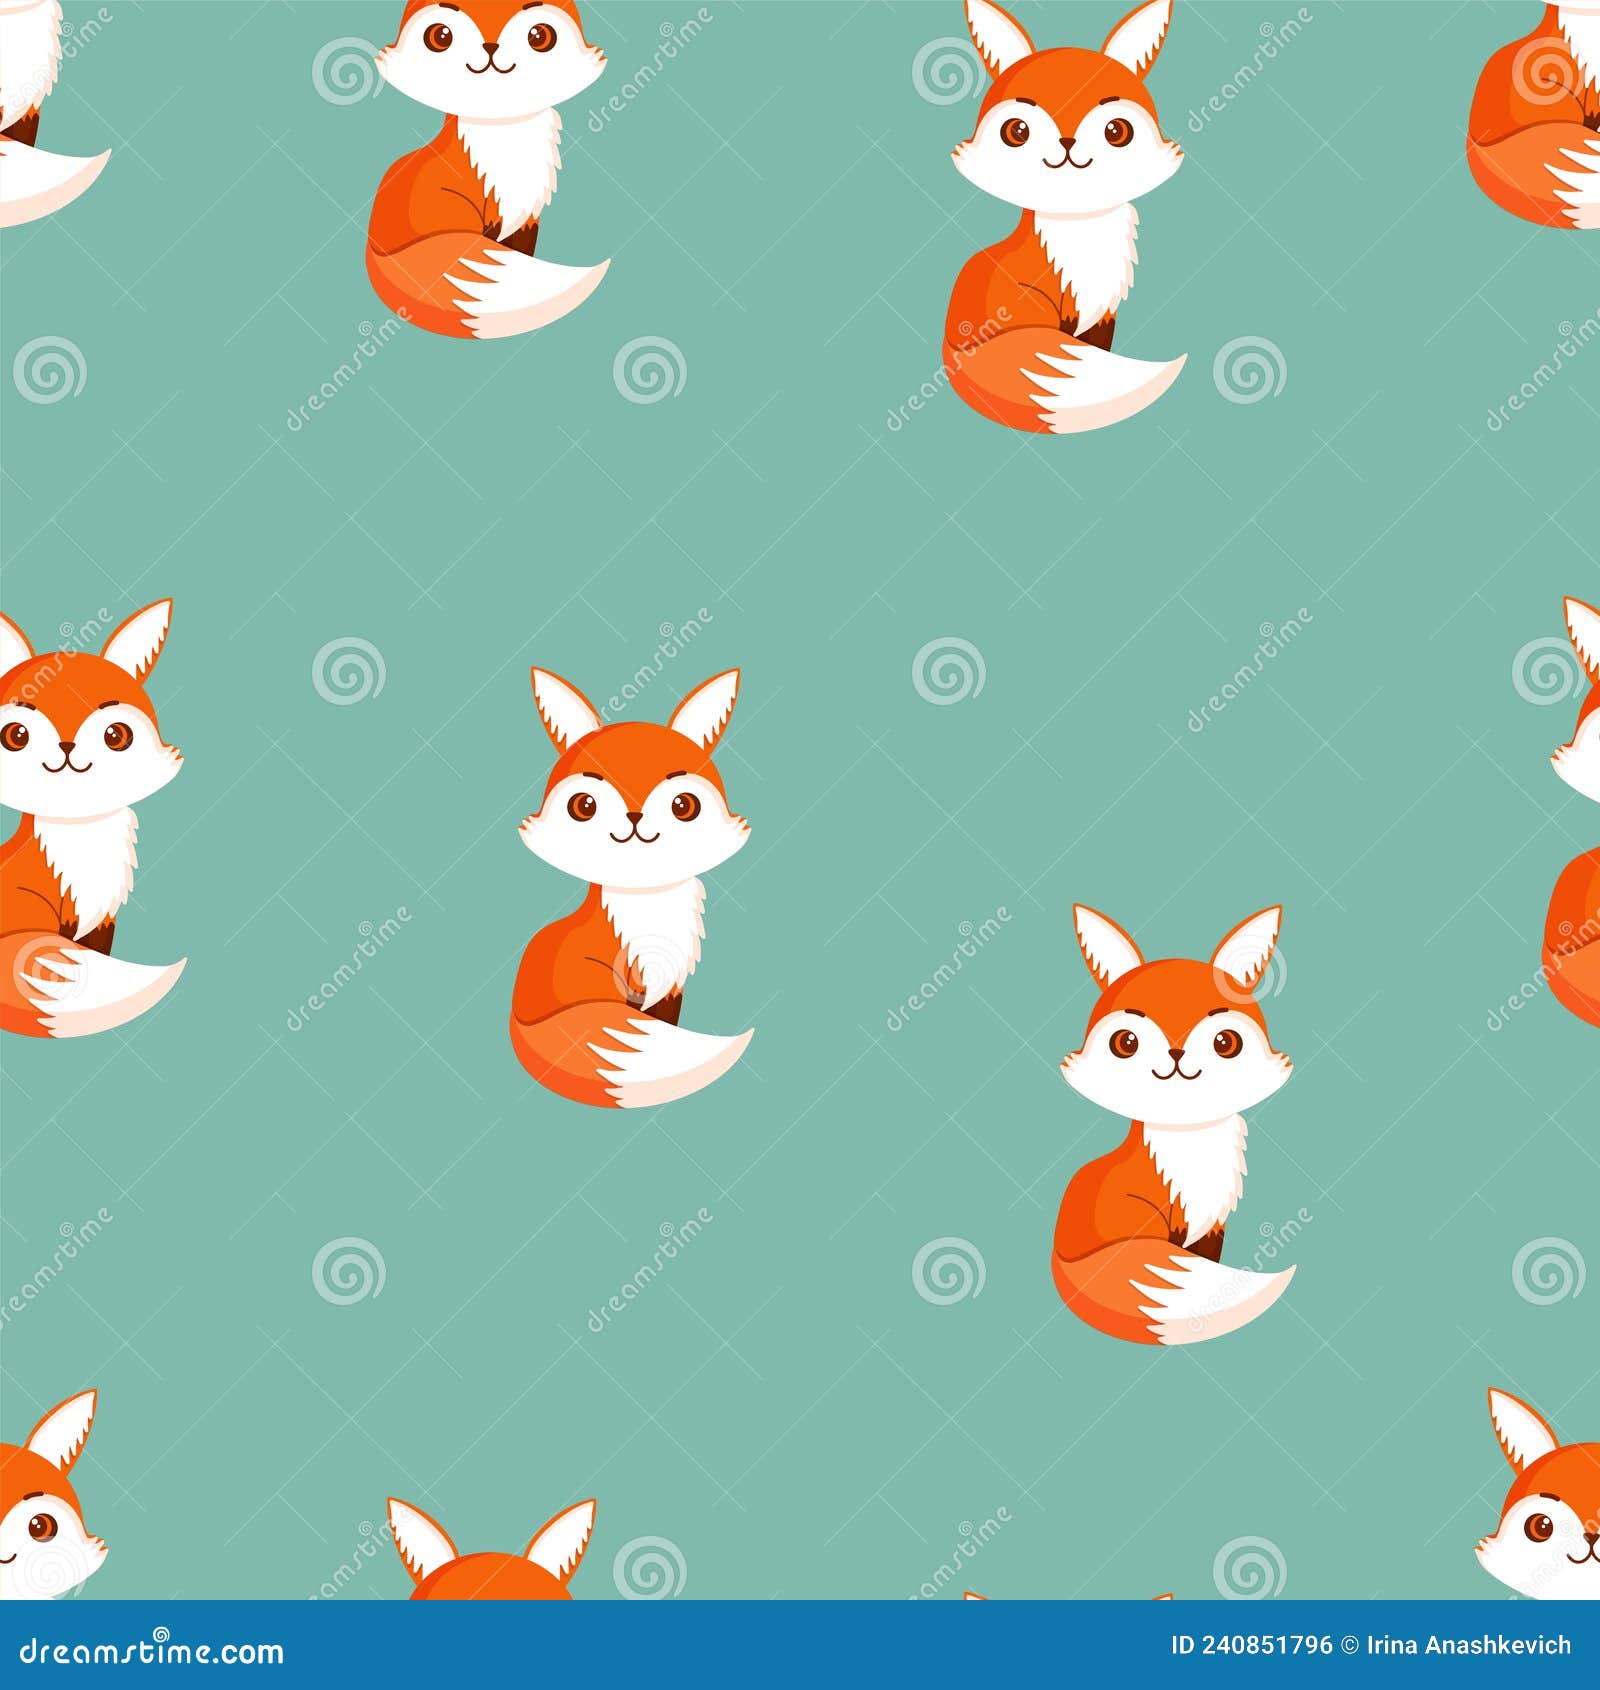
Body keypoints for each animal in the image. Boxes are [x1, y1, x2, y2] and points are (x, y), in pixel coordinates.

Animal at [509, 667, 752, 1108]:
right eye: (584, 806)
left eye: (683, 806)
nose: (635, 818)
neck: (649, 907)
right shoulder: (628, 985)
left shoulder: (670, 992)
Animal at [943, 0, 1186, 434]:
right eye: (1018, 131)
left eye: (1116, 131)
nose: (1068, 143)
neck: (1081, 234)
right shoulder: (1055, 310)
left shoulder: (1102, 318)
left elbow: (1098, 344)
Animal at [1052, 904, 1295, 1345]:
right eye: (1126, 1043)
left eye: (1225, 1042)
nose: (1177, 1054)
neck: (1191, 1146)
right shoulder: (1161, 1221)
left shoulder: (1212, 1229)